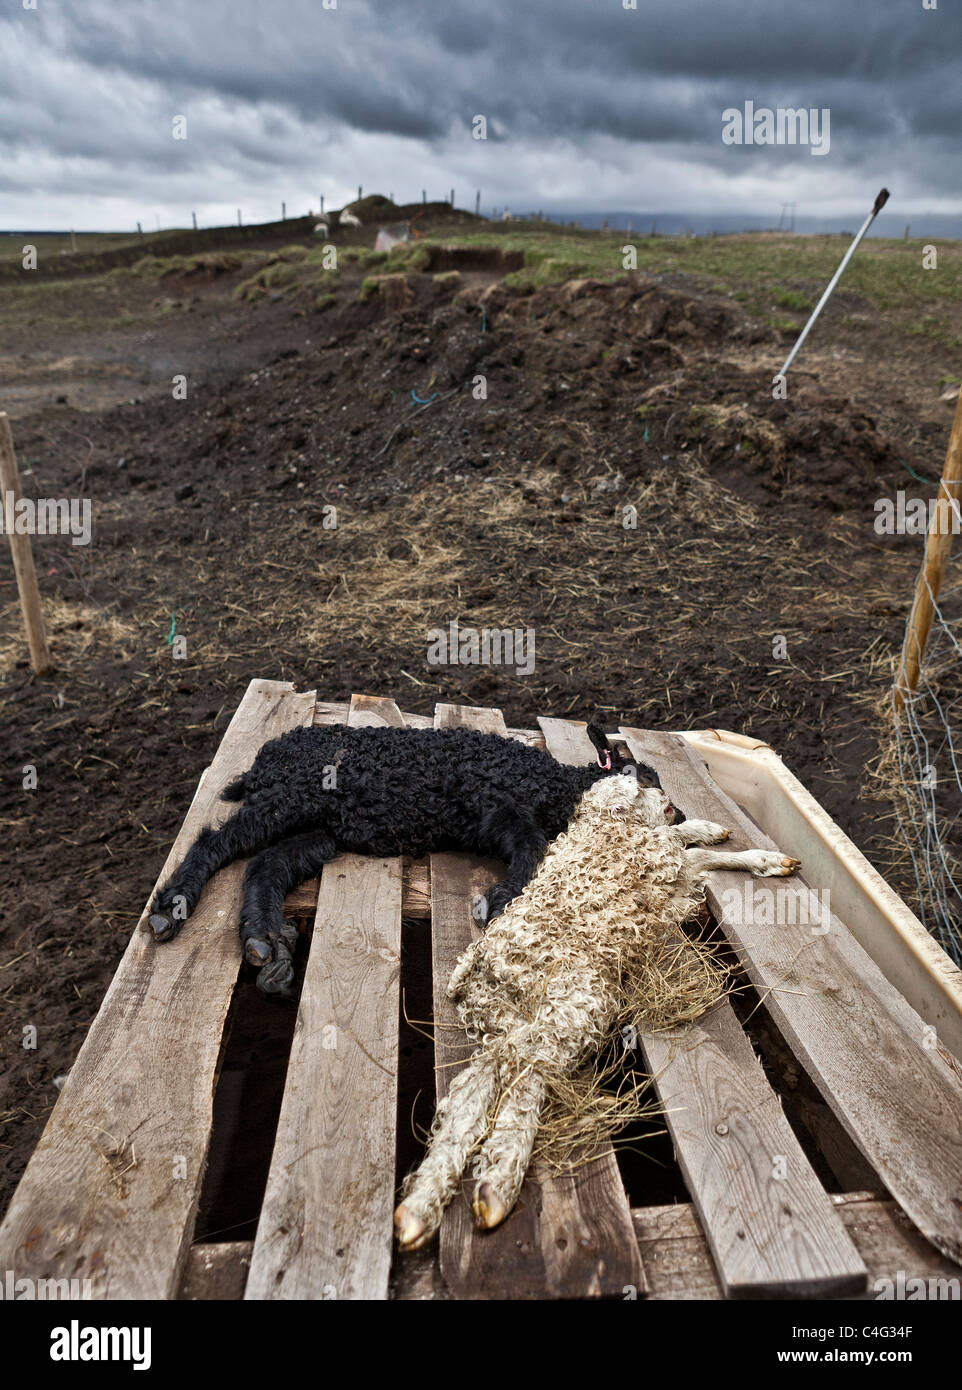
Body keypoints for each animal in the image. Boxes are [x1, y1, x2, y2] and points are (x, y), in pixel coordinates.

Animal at [147, 722, 669, 996]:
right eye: (639, 776)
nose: (678, 812)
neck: (553, 783)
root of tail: (262, 759)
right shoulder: (498, 807)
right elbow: (532, 849)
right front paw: (498, 900)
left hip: (321, 828)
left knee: (266, 866)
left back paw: (268, 946)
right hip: (288, 797)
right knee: (214, 843)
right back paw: (172, 908)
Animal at [393, 772, 800, 1250]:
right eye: (639, 790)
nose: (664, 795)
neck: (607, 827)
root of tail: (472, 969)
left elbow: (687, 840)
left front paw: (710, 828)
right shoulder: (669, 869)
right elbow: (696, 854)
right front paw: (765, 858)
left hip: (513, 1022)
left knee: (471, 1095)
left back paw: (418, 1210)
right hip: (571, 1003)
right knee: (528, 1078)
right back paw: (497, 1186)